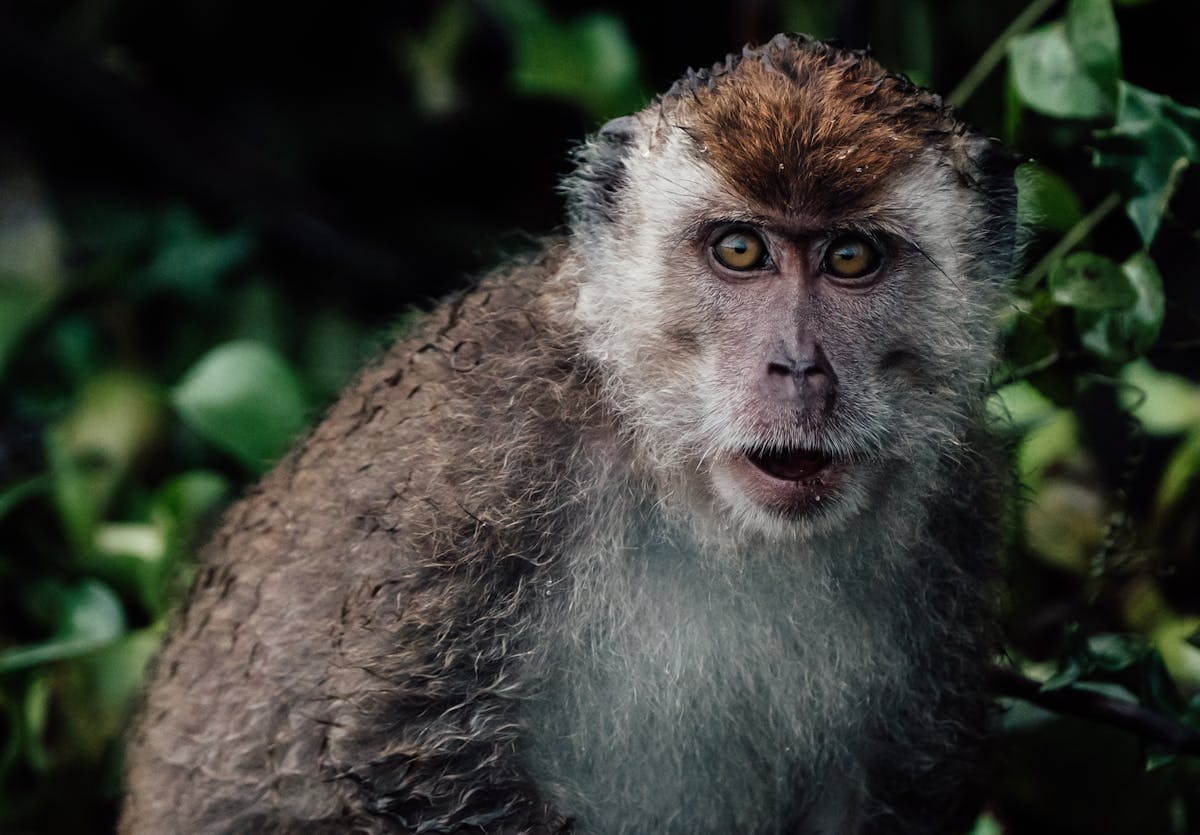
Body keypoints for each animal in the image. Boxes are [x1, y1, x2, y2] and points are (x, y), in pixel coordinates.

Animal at [119, 33, 1019, 835]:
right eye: (740, 249)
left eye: (851, 258)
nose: (797, 367)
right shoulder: (495, 467)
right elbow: (406, 747)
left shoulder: (955, 511)